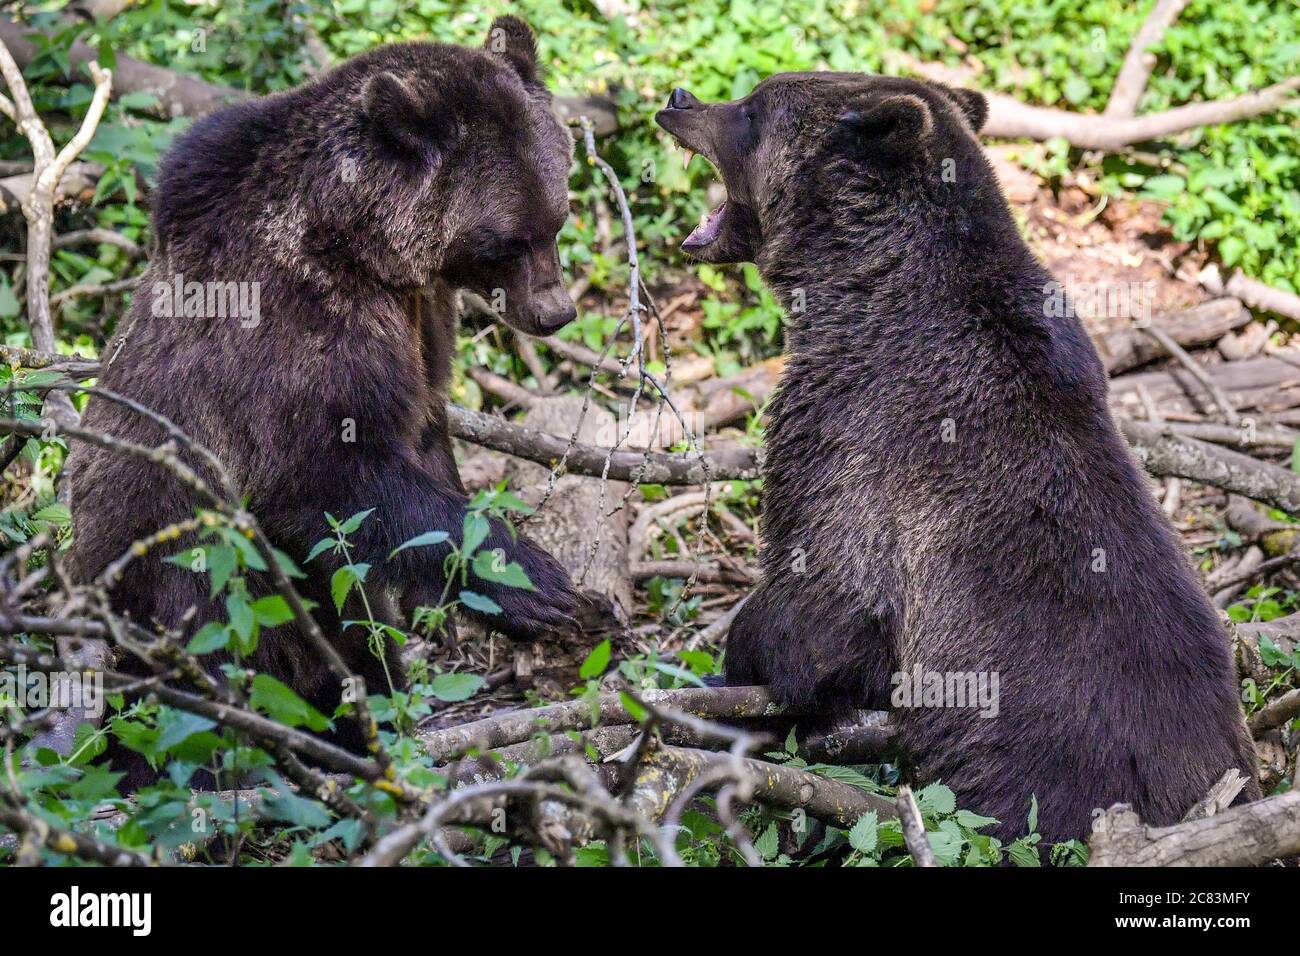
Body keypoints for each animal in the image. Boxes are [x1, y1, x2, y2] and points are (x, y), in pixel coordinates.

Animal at [66, 17, 597, 780]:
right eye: (508, 239)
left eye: (558, 215)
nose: (555, 312)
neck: (360, 246)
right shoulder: (297, 329)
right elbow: (328, 476)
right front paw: (532, 581)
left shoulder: (422, 322)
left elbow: (423, 436)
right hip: (185, 579)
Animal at [656, 74, 1260, 845]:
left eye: (755, 109)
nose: (678, 98)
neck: (863, 285)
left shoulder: (854, 434)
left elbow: (818, 615)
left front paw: (731, 675)